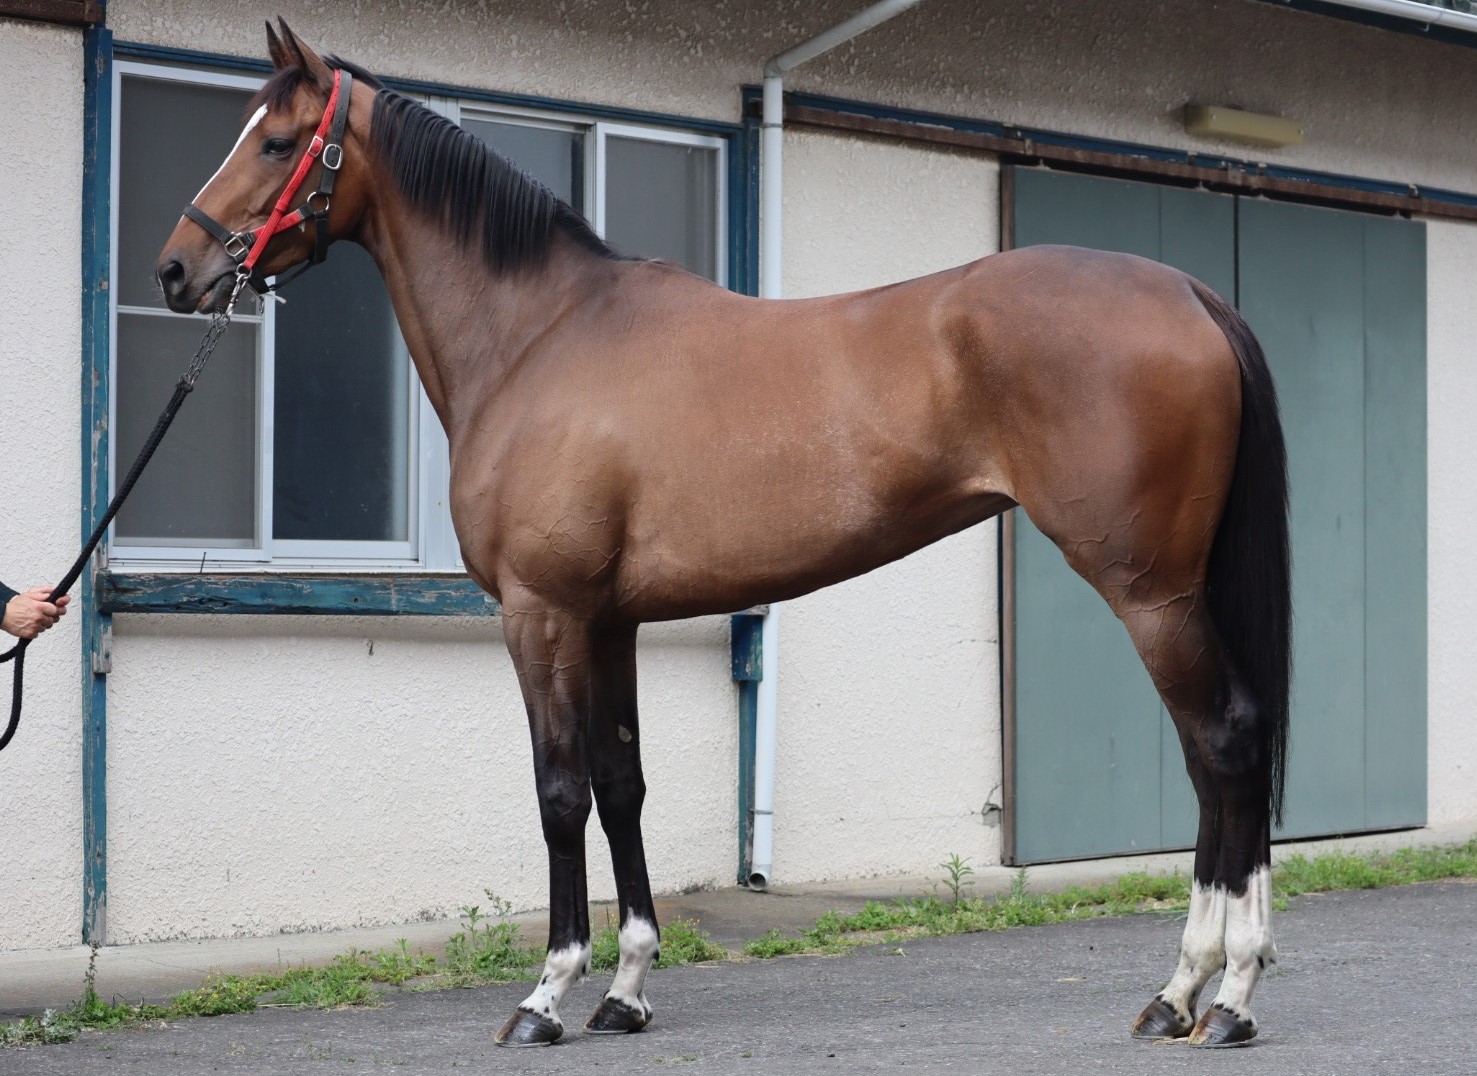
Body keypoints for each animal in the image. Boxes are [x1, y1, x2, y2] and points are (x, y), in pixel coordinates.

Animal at [155, 20, 1290, 1050]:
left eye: (274, 141)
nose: (174, 270)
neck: (538, 339)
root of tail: (1189, 291)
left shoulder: (541, 612)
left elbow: (558, 789)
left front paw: (545, 995)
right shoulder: (609, 622)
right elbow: (622, 786)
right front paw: (625, 991)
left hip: (1149, 591)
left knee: (1223, 743)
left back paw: (1218, 991)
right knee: (1213, 758)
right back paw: (1185, 994)